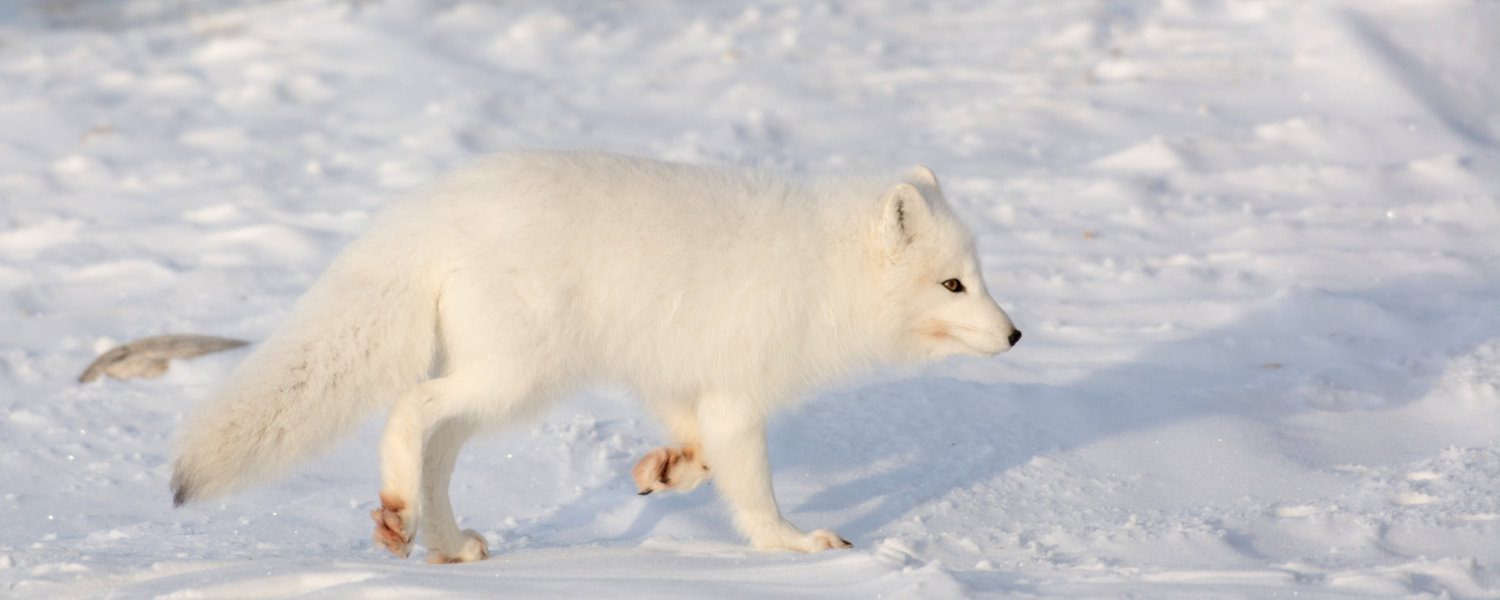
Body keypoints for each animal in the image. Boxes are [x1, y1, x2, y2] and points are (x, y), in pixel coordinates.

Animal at [170, 150, 1020, 563]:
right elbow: (752, 491)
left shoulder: (678, 377)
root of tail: (429, 209)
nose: (1015, 335)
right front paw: (793, 547)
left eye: (978, 277)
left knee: (436, 449)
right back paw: (399, 515)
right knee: (410, 411)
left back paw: (445, 546)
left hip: (495, 384)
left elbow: (699, 455)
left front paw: (666, 472)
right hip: (514, 378)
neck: (820, 272)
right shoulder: (737, 394)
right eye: (952, 284)